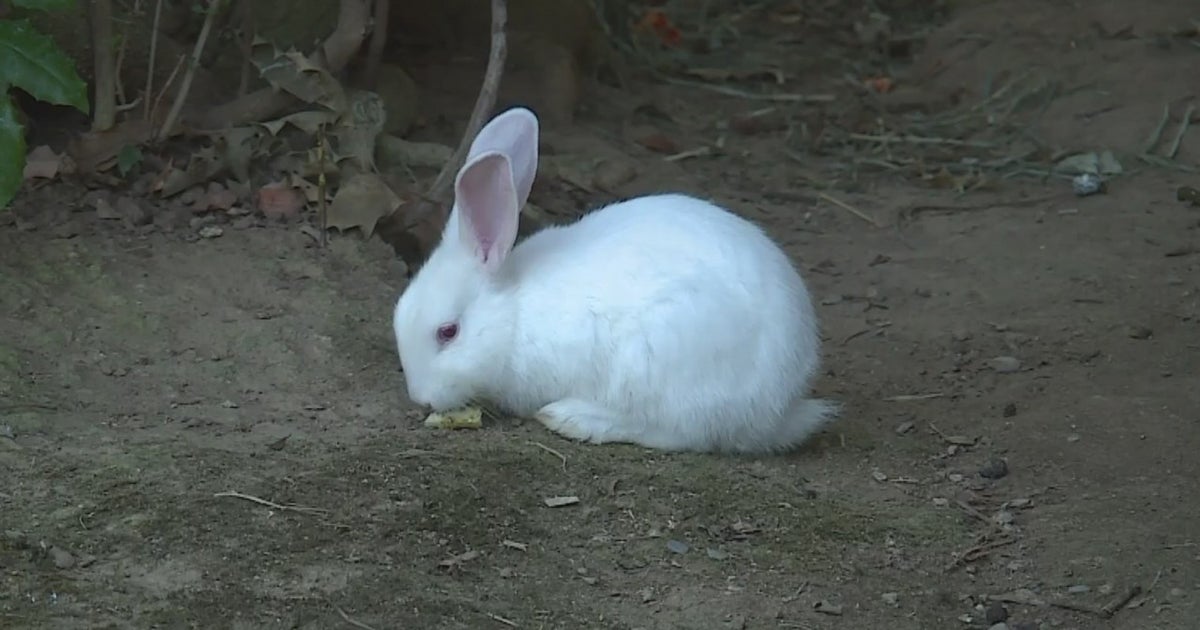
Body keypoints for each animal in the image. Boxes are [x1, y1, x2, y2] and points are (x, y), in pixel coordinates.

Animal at [392, 106, 837, 453]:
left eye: (448, 332)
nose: (420, 398)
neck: (514, 311)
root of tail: (780, 404)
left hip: (661, 366)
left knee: (680, 434)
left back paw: (573, 418)